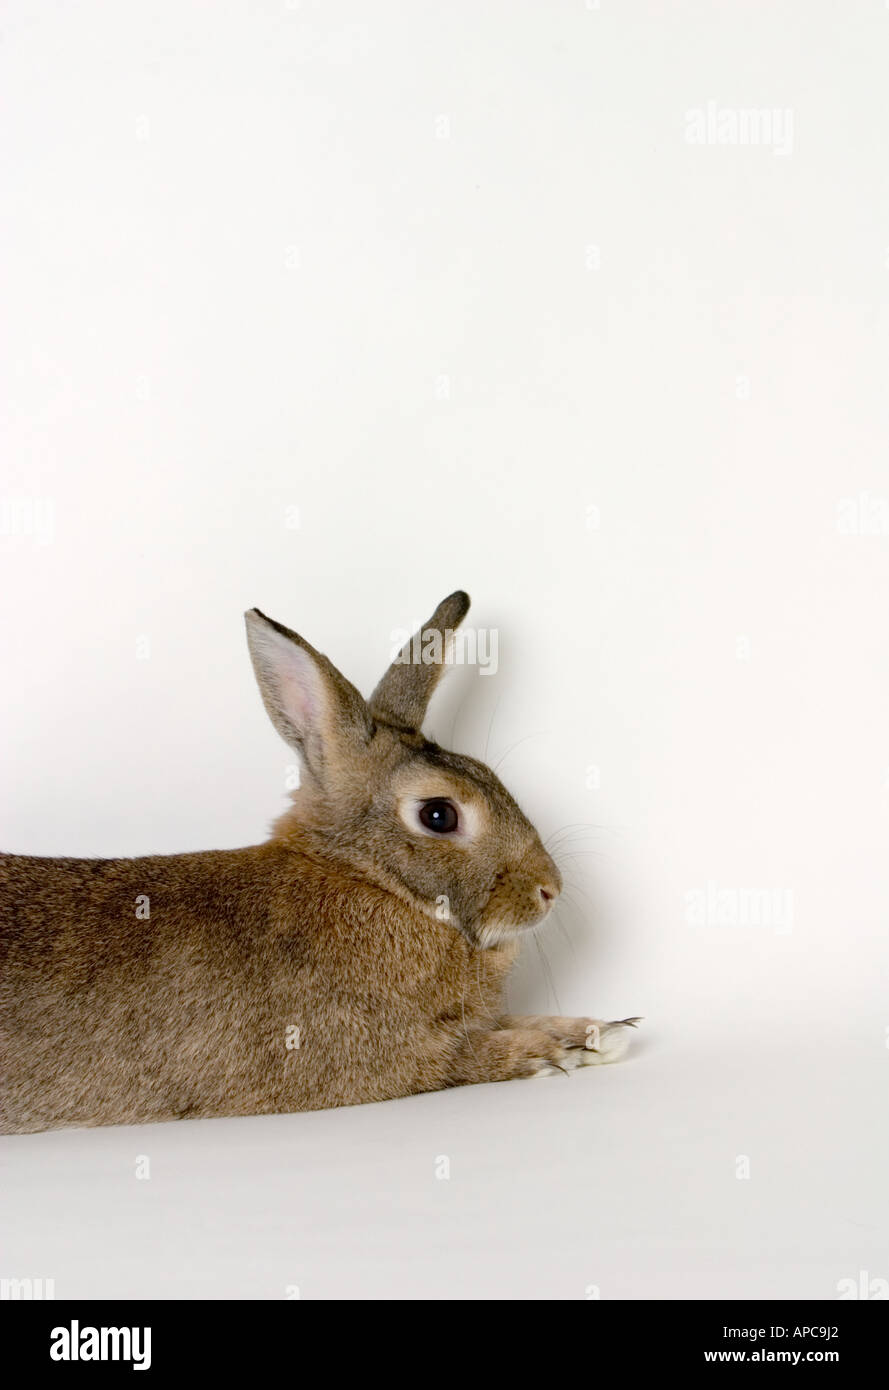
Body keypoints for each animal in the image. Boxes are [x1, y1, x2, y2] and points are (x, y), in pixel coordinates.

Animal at [0, 590, 639, 1133]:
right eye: (438, 815)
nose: (550, 888)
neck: (370, 878)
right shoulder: (388, 1055)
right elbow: (468, 1056)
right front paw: (570, 1045)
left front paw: (596, 1028)